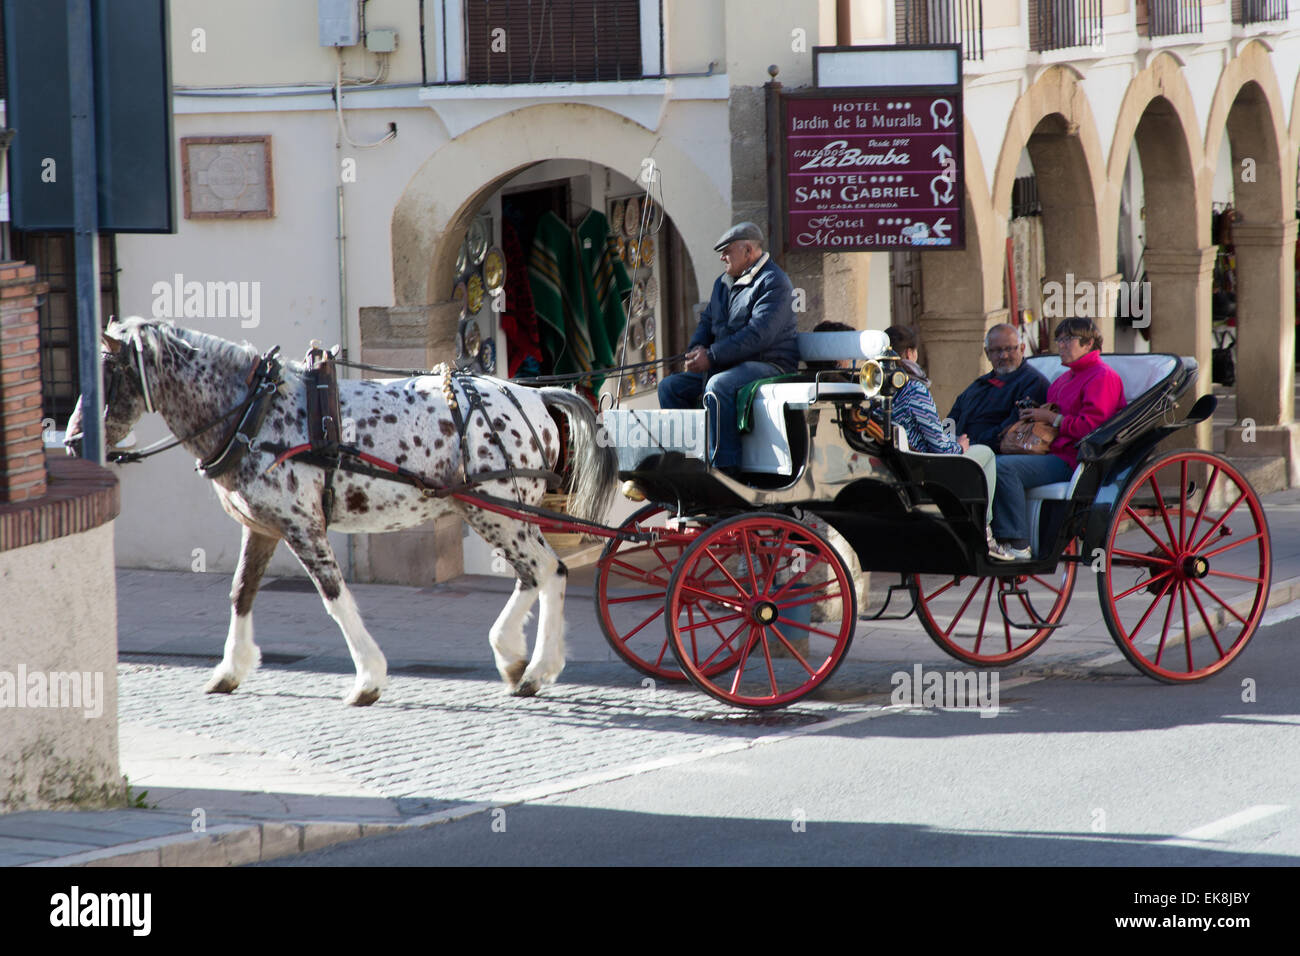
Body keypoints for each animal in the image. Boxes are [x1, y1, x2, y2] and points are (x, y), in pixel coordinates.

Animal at [65, 317, 618, 706]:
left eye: (107, 374)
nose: (71, 440)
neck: (253, 413)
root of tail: (531, 395)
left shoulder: (302, 526)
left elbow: (334, 597)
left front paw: (368, 678)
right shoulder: (263, 527)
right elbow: (241, 592)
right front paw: (230, 668)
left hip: (499, 511)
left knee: (549, 571)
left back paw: (537, 668)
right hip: (493, 510)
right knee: (535, 575)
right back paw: (514, 657)